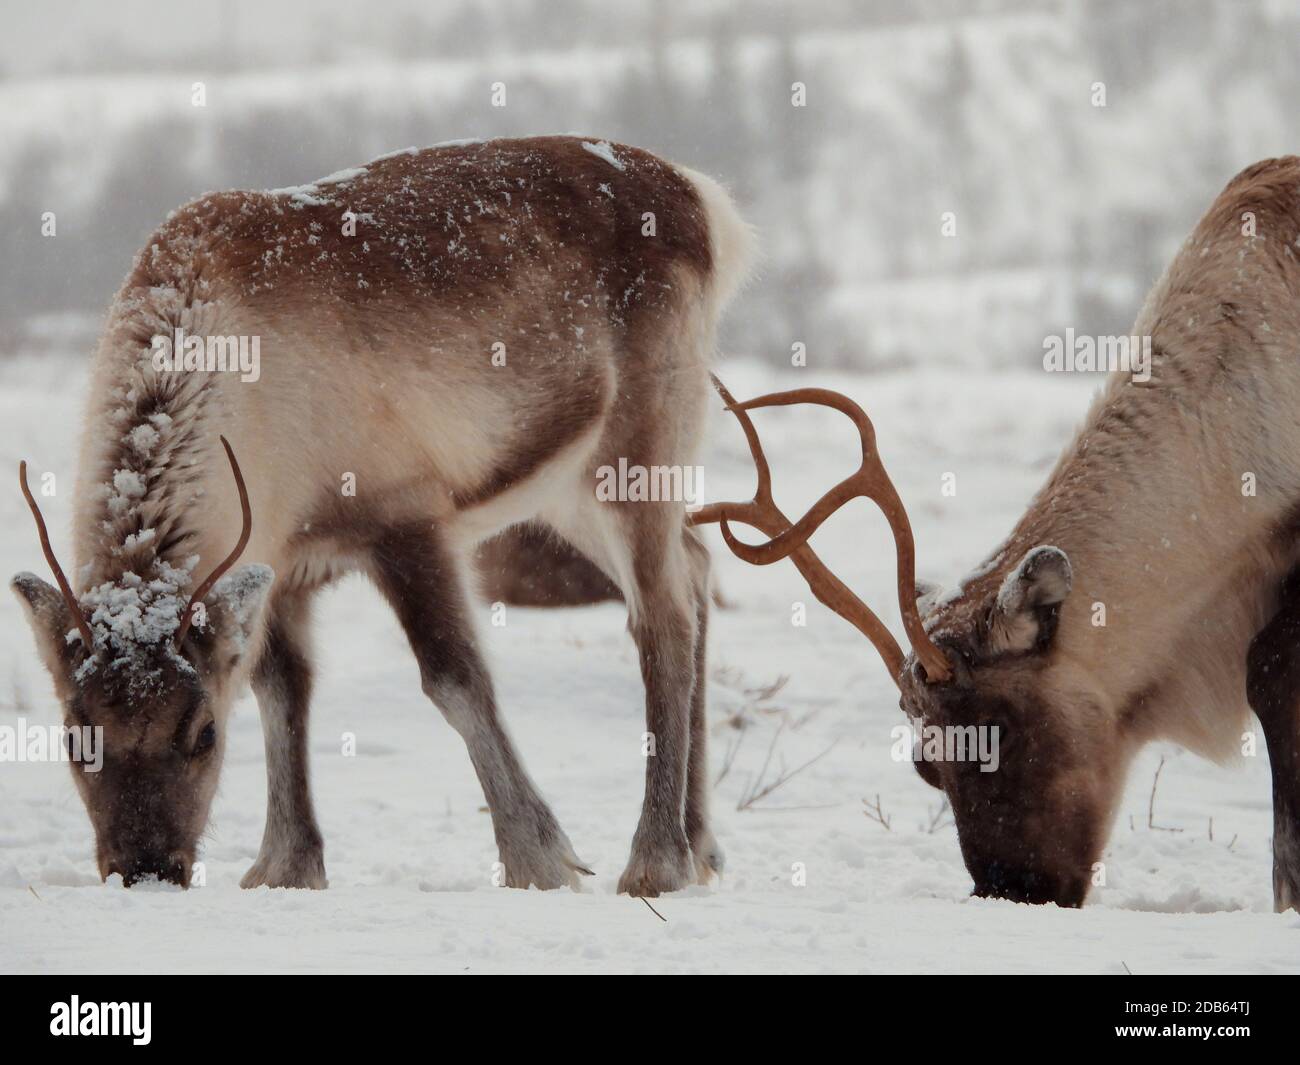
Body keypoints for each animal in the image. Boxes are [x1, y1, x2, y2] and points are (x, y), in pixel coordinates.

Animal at [12, 135, 754, 897]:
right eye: (74, 734)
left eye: (205, 732)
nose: (146, 870)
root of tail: (705, 201)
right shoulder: (279, 559)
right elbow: (283, 690)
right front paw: (286, 865)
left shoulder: (406, 513)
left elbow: (455, 679)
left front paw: (540, 858)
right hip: (568, 489)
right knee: (696, 564)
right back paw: (703, 843)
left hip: (642, 440)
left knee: (661, 613)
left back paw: (657, 859)